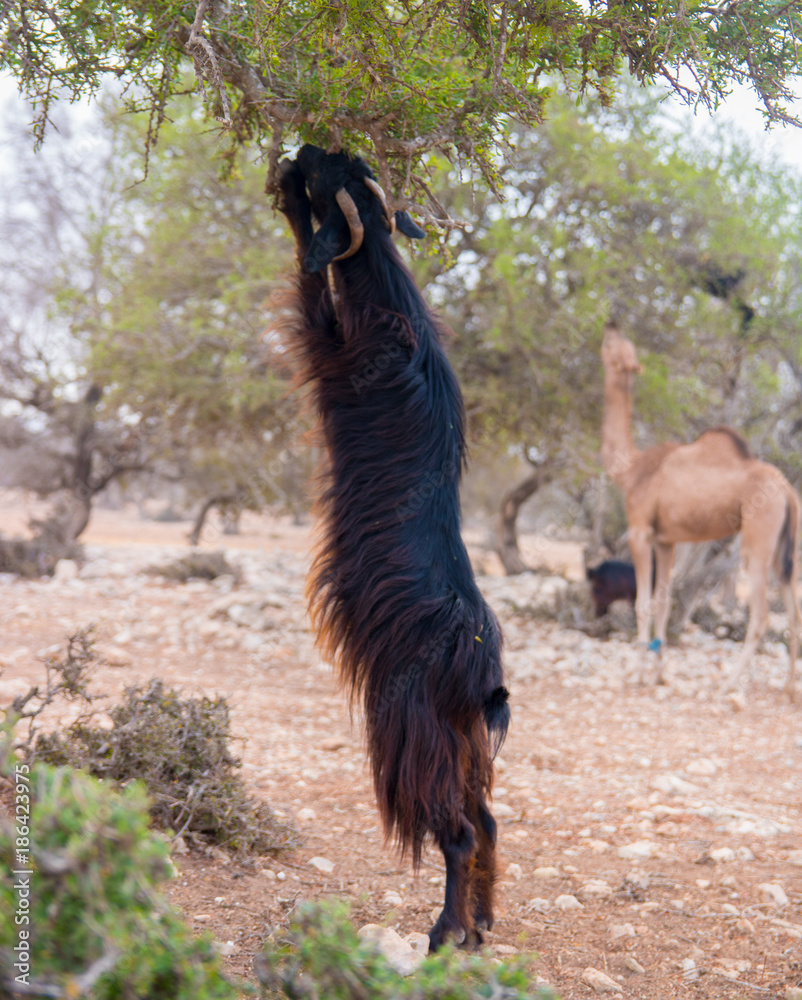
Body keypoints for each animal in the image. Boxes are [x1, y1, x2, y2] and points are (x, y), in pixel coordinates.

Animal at [276, 145, 509, 950]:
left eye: (330, 177)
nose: (301, 152)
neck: (395, 304)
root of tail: (482, 676)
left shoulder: (334, 351)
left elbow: (309, 279)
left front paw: (288, 205)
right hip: (462, 744)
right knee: (488, 821)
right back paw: (484, 922)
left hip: (414, 737)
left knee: (458, 831)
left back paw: (447, 933)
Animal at [600, 323, 800, 699]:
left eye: (611, 345)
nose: (610, 323)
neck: (630, 469)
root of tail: (787, 492)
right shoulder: (666, 541)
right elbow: (663, 602)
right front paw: (657, 674)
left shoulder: (639, 531)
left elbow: (643, 603)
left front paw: (637, 674)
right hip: (786, 545)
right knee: (792, 605)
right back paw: (789, 687)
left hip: (758, 536)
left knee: (762, 614)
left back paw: (730, 683)